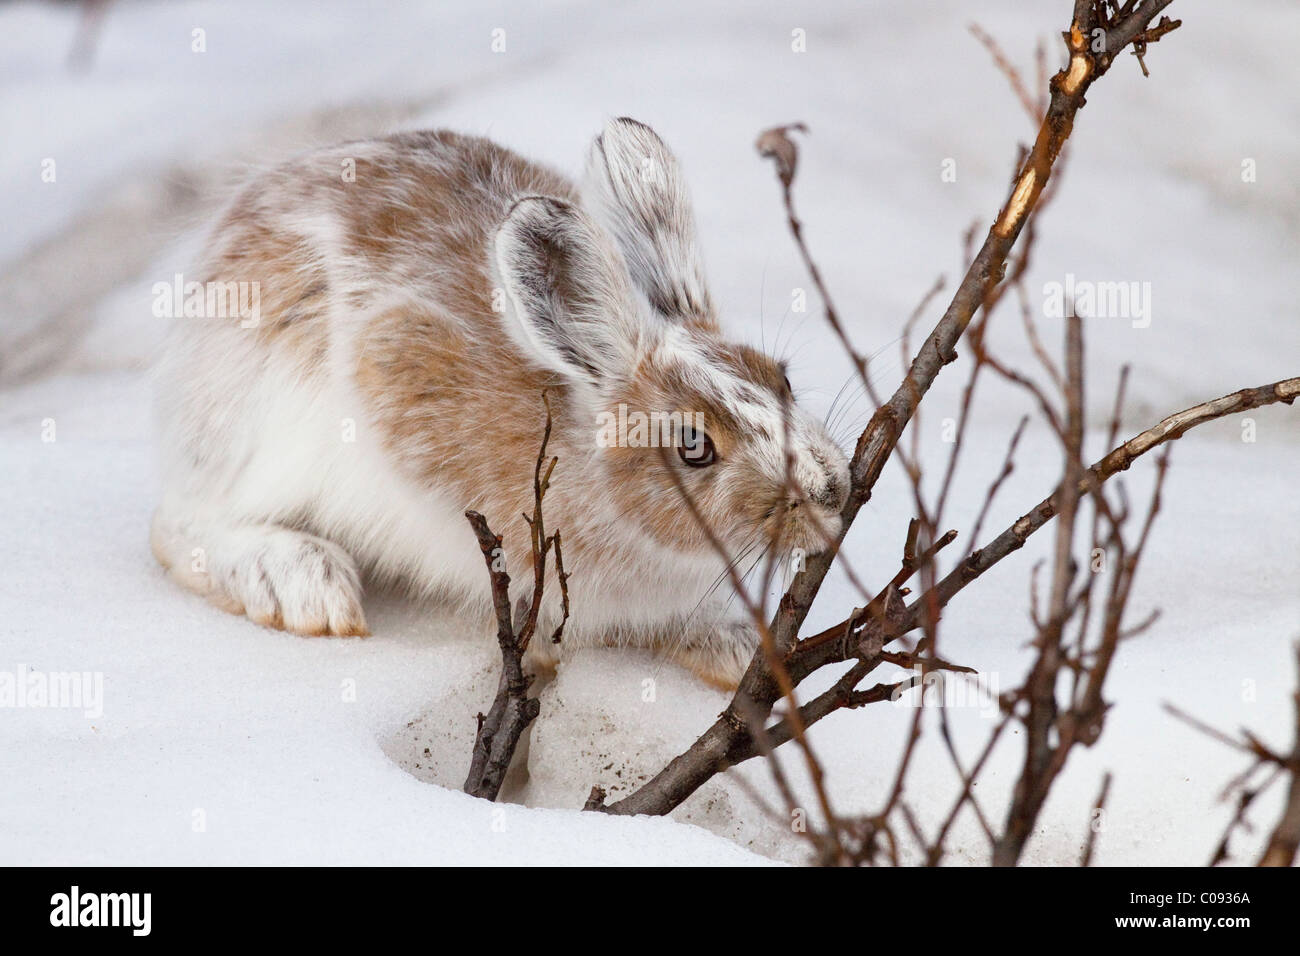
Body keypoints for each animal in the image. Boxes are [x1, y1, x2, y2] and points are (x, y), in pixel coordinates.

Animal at [150, 118, 850, 690]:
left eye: (782, 379)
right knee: (181, 526)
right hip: (254, 424)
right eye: (694, 446)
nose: (831, 490)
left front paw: (732, 649)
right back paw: (300, 582)